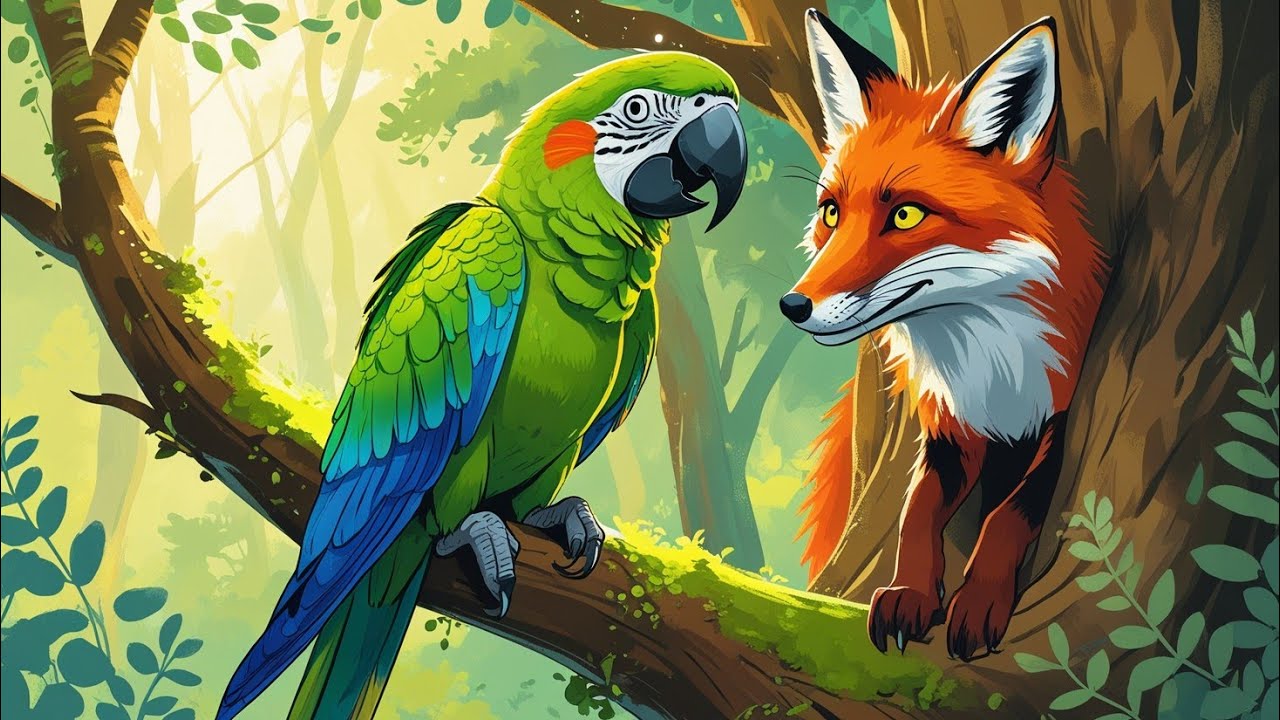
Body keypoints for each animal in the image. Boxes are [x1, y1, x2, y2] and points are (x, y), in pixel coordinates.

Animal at [781, 10, 1107, 661]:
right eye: (831, 213)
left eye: (905, 214)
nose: (792, 305)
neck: (993, 364)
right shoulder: (951, 428)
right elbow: (918, 509)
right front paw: (910, 590)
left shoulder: (1056, 420)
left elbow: (1007, 515)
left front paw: (979, 601)